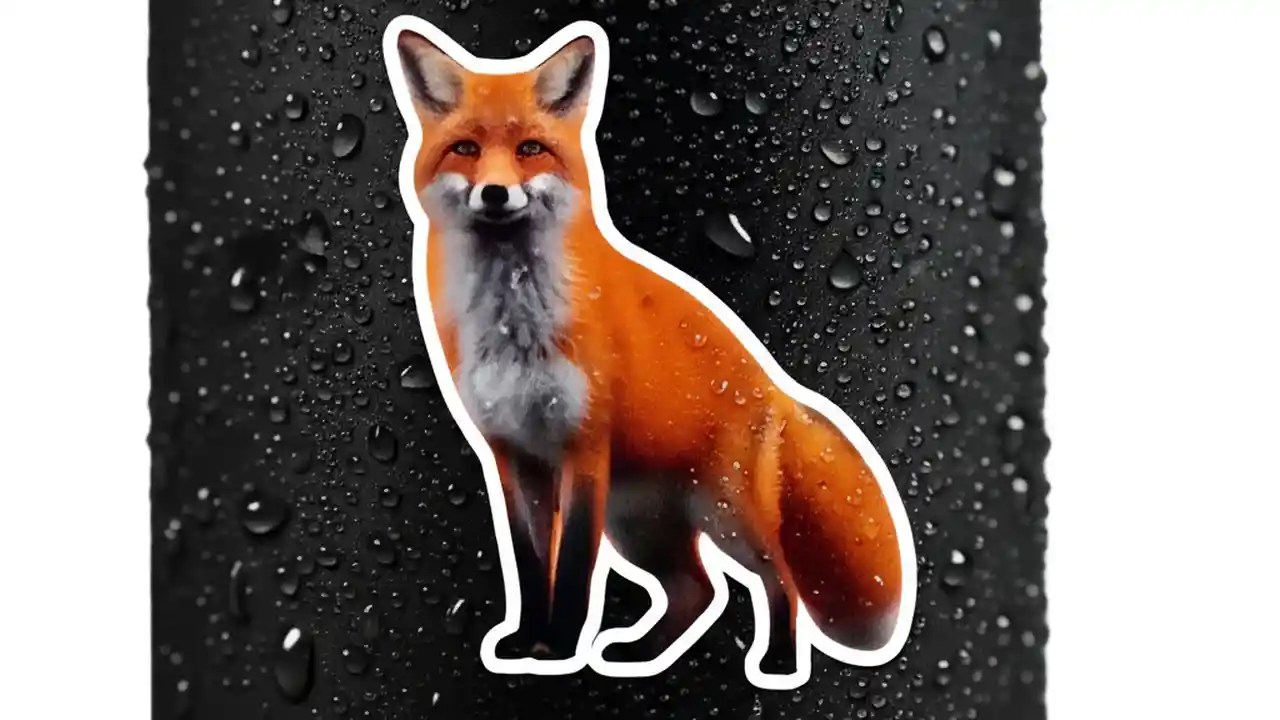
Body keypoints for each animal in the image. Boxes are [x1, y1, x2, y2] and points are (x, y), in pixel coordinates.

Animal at [387, 19, 912, 683]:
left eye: (530, 149)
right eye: (466, 149)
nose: (496, 194)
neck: (514, 328)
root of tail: (777, 389)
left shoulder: (585, 449)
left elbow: (574, 570)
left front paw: (561, 645)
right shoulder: (512, 457)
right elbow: (530, 567)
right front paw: (528, 640)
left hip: (724, 513)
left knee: (777, 579)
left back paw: (778, 661)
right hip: (640, 524)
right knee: (700, 589)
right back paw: (641, 653)